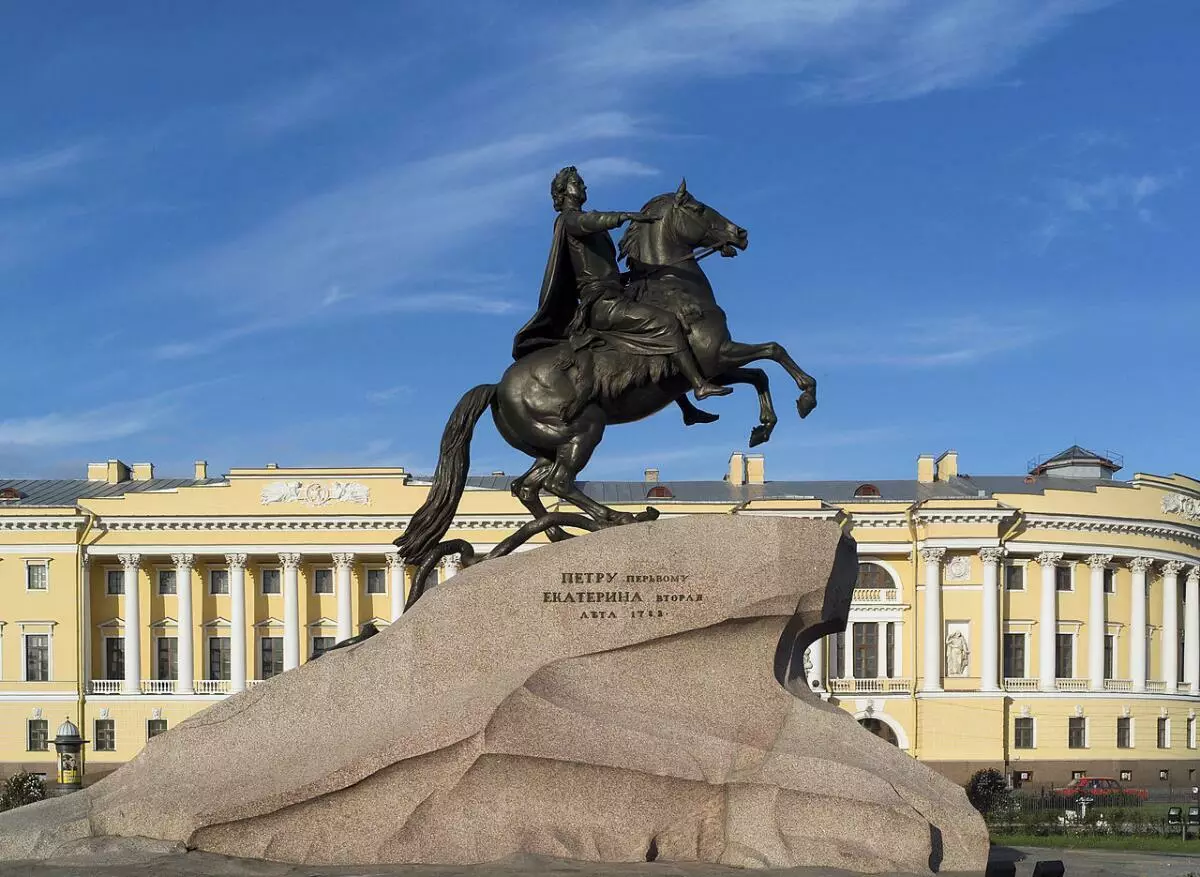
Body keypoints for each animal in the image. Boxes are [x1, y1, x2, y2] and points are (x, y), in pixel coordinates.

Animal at [393, 182, 816, 566]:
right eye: (698, 208)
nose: (740, 234)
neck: (675, 288)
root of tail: (497, 387)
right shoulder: (715, 358)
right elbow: (773, 352)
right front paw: (806, 398)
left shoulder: (713, 368)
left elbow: (759, 374)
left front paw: (763, 427)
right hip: (583, 429)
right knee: (557, 482)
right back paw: (615, 516)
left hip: (548, 445)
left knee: (527, 487)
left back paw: (561, 533)